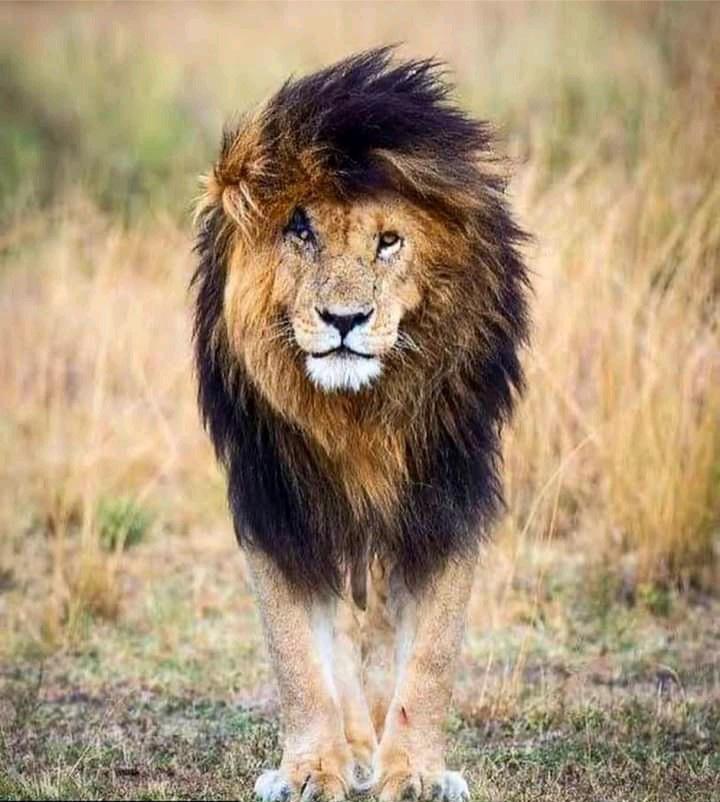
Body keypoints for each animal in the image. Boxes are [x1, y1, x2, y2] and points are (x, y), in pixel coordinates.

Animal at [192, 48, 529, 801]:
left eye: (389, 242)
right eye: (301, 230)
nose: (344, 319)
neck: (356, 416)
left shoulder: (446, 499)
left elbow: (429, 659)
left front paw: (417, 772)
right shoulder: (277, 505)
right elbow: (298, 657)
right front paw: (313, 768)